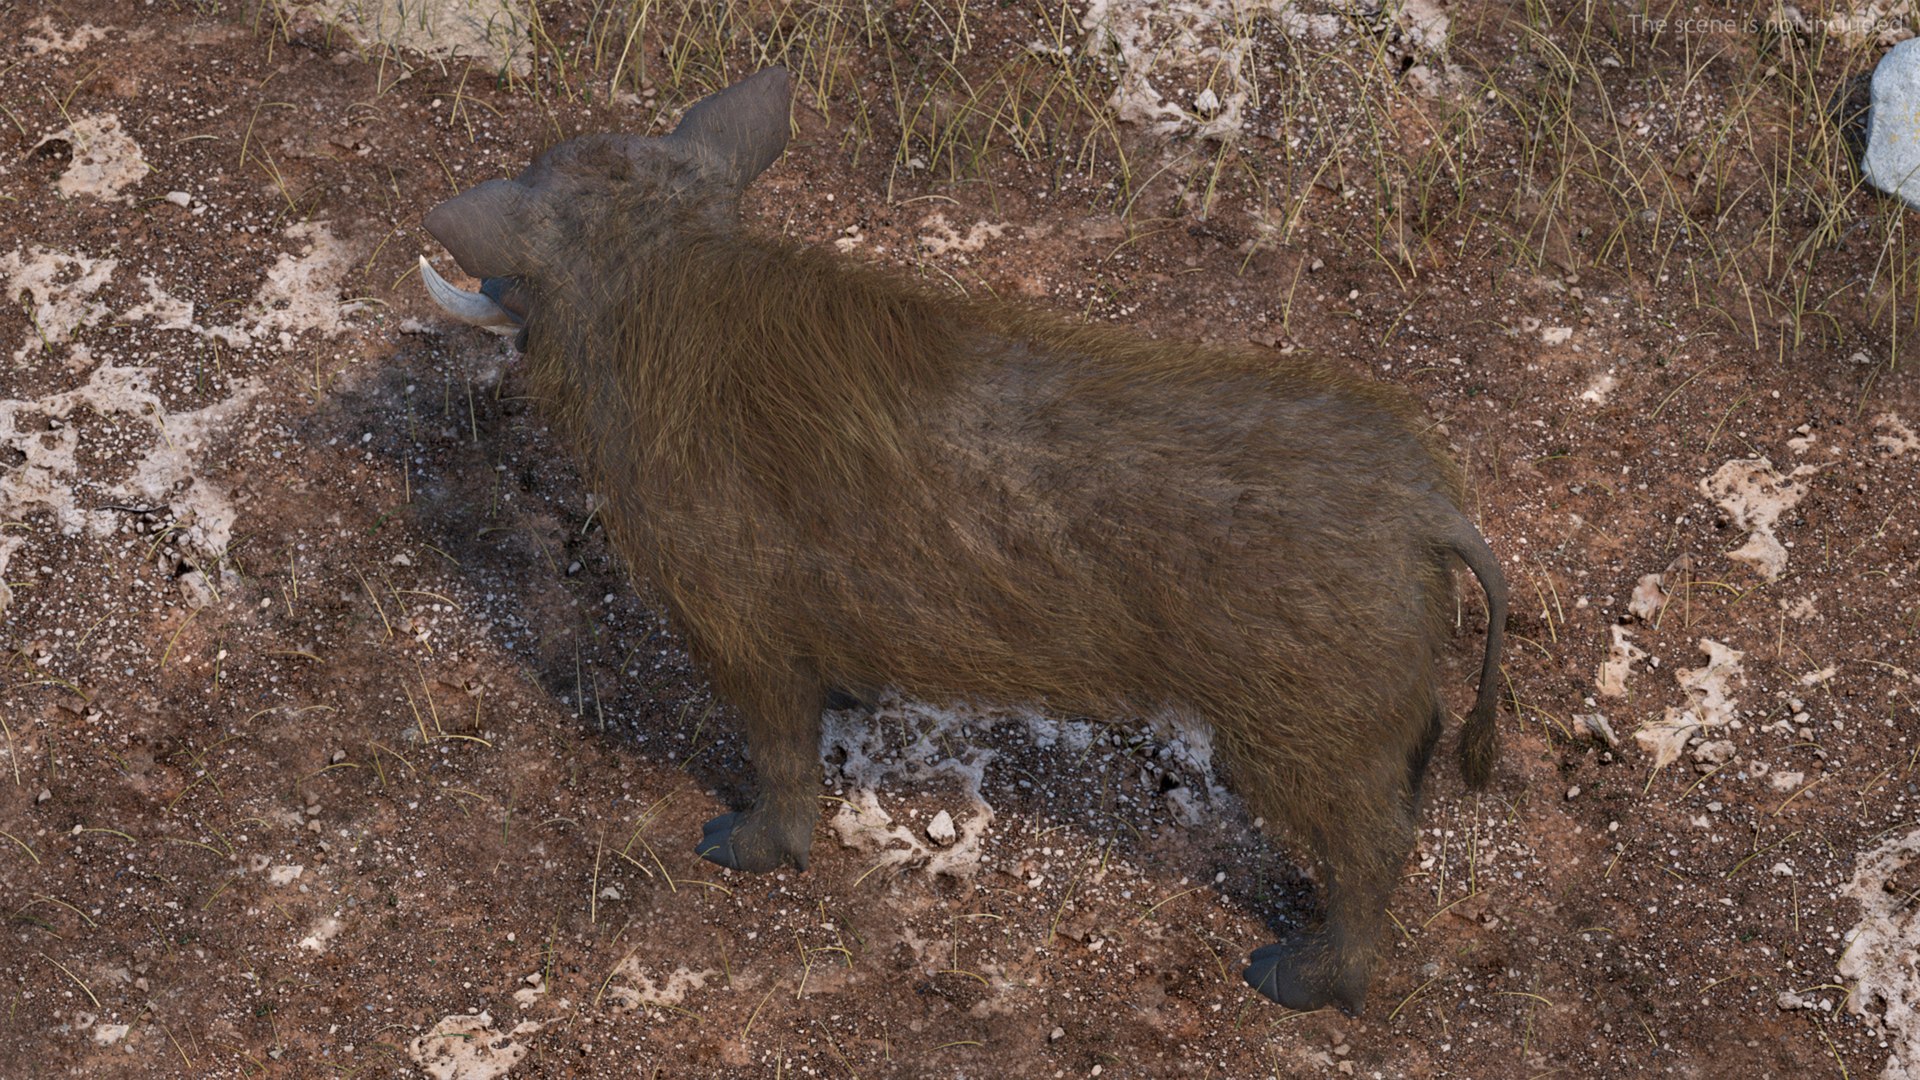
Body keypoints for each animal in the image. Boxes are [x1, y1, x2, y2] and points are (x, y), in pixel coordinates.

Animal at [418, 67, 1507, 1014]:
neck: (665, 286)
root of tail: (1432, 507)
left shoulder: (738, 632)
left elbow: (779, 759)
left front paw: (737, 848)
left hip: (1302, 740)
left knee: (1371, 854)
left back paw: (1293, 980)